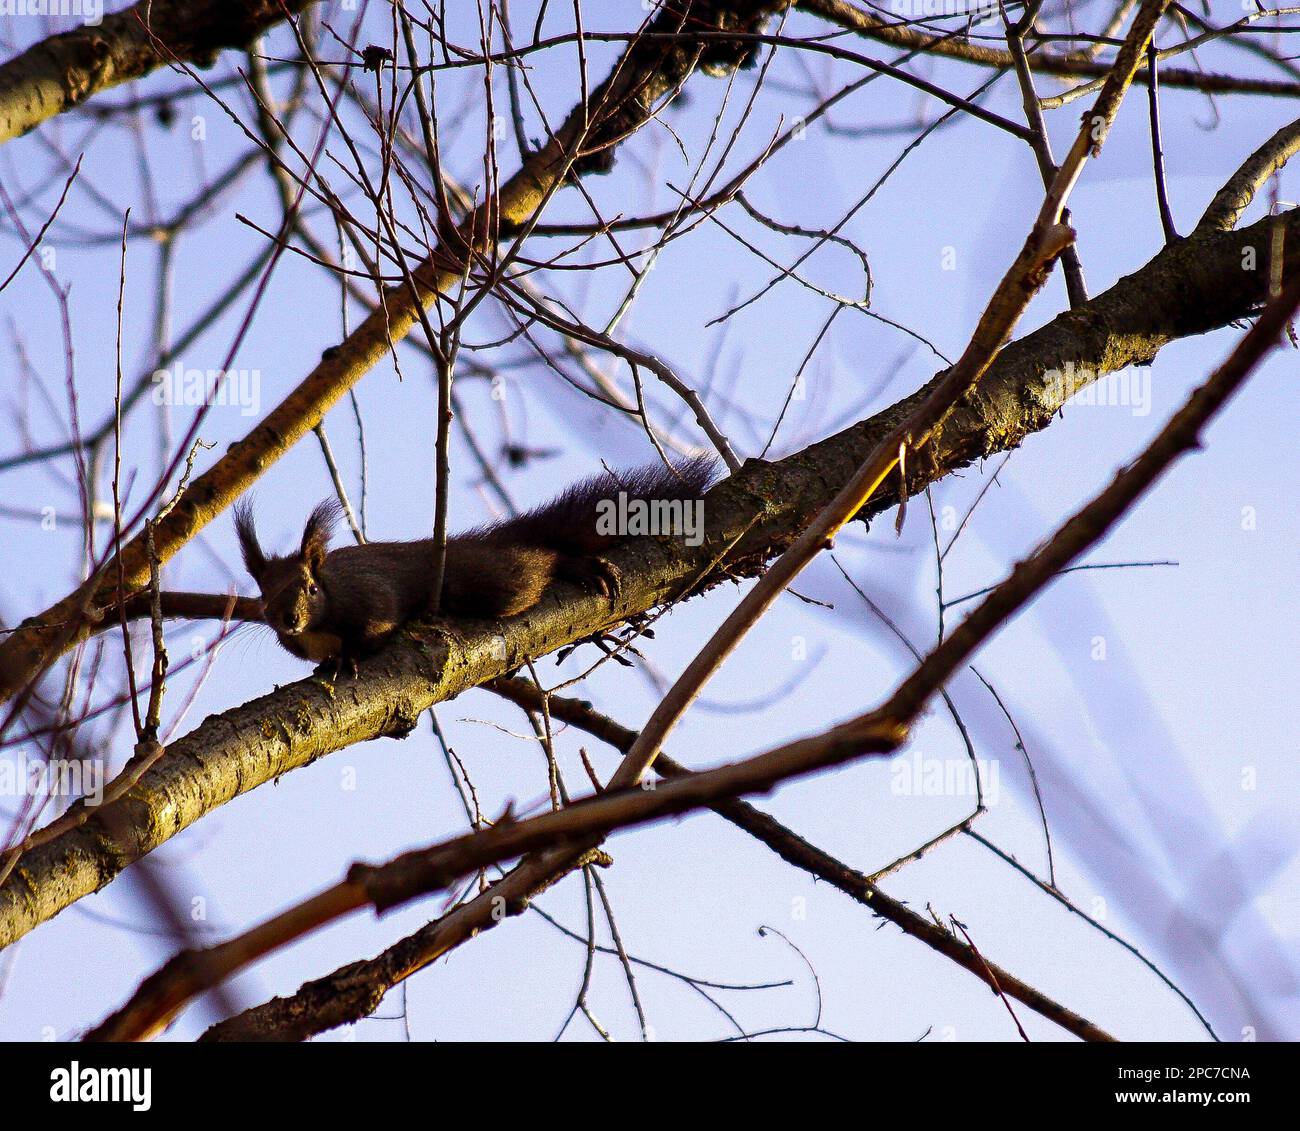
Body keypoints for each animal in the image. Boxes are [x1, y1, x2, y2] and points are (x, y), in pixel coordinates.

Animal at [233, 456, 715, 668]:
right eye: (263, 595)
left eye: (311, 588)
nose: (289, 620)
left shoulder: (371, 597)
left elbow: (375, 629)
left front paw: (348, 657)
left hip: (494, 579)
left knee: (539, 562)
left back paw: (576, 566)